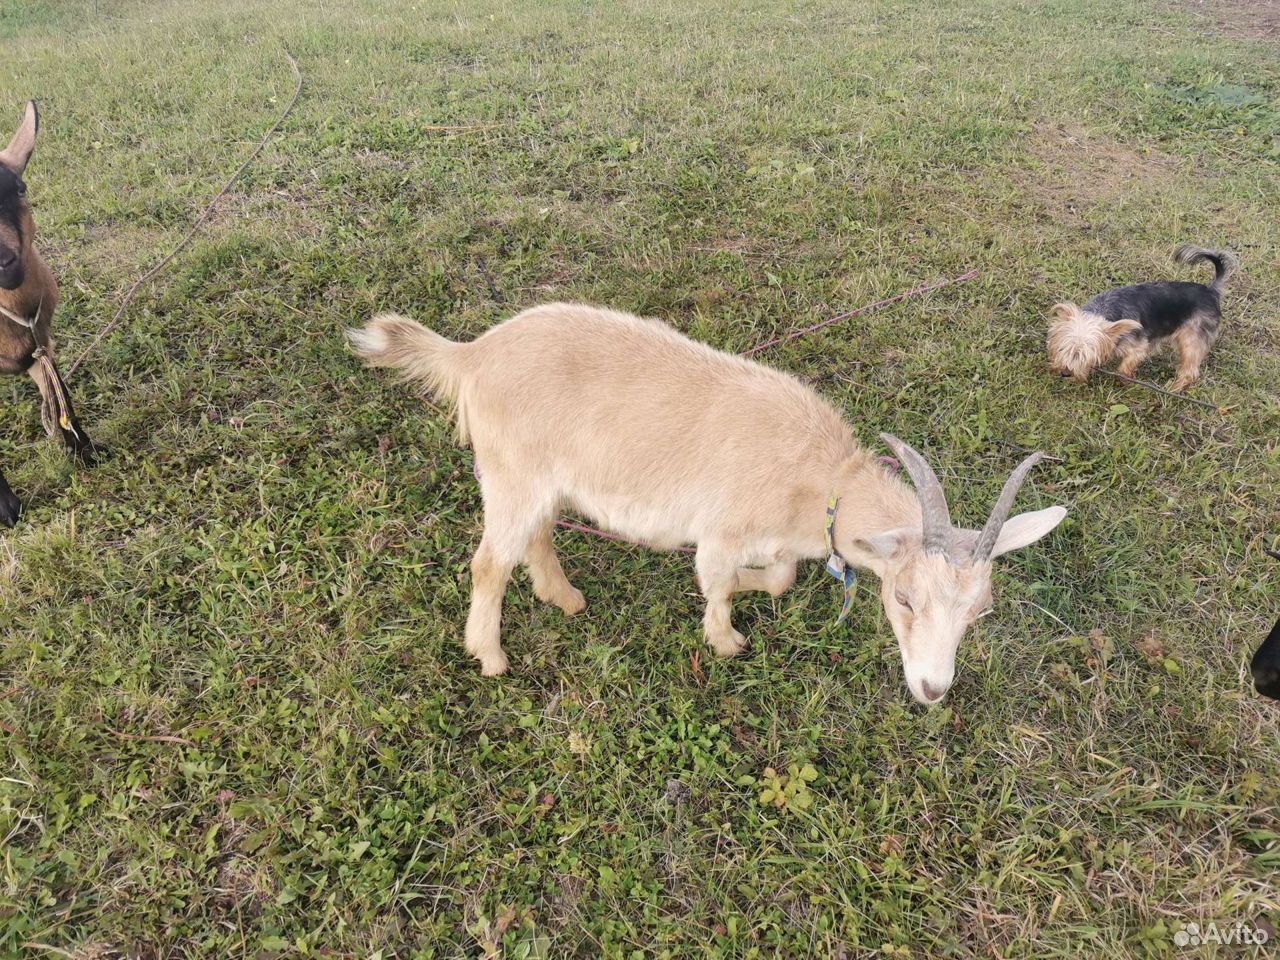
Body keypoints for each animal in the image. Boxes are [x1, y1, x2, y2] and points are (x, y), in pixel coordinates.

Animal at [349, 302, 1067, 703]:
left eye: (980, 612)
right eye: (906, 599)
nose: (932, 689)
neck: (819, 477)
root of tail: (471, 355)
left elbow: (780, 577)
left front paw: (757, 587)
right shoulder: (722, 527)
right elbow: (716, 582)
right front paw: (725, 640)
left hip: (541, 479)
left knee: (538, 536)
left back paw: (566, 598)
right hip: (511, 472)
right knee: (489, 562)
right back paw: (491, 657)